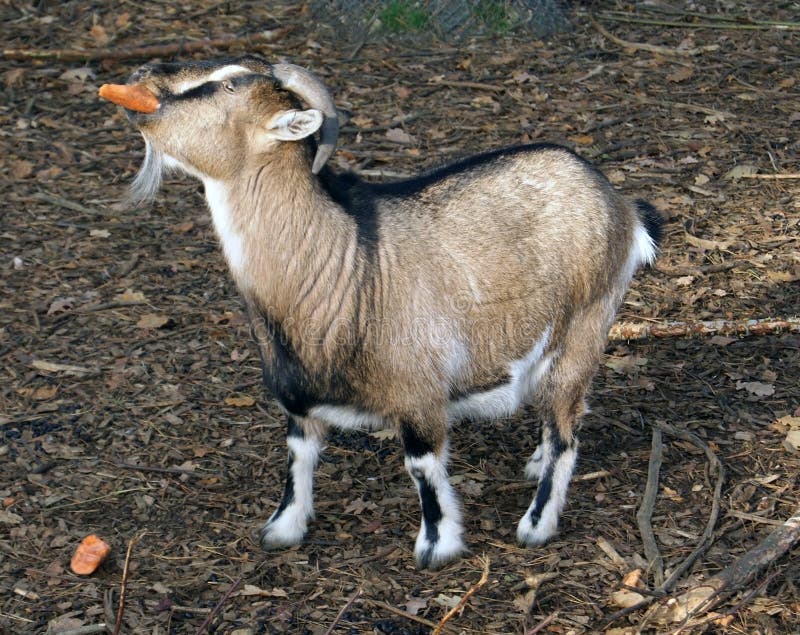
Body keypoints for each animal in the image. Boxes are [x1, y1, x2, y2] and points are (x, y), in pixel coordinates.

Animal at [99, 55, 662, 569]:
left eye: (230, 83)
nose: (143, 76)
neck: (340, 263)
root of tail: (620, 206)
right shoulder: (298, 398)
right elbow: (298, 455)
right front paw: (282, 528)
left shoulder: (418, 394)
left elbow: (422, 467)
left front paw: (436, 546)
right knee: (556, 417)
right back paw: (535, 460)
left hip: (584, 328)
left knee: (566, 430)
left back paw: (537, 523)